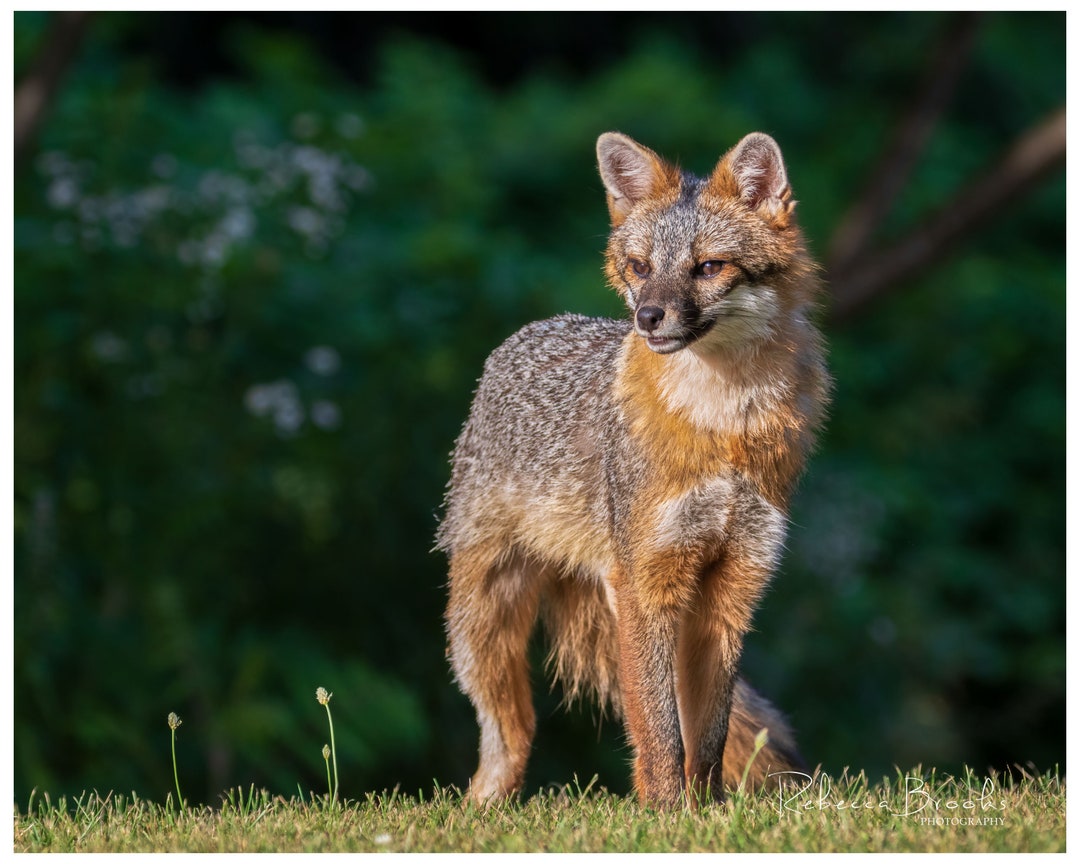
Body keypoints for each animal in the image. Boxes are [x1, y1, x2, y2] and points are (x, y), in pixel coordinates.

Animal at [437, 130, 830, 809]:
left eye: (708, 267)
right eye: (641, 267)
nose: (648, 317)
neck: (721, 423)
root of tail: (528, 331)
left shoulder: (734, 582)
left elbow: (708, 731)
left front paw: (708, 811)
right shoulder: (646, 581)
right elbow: (657, 724)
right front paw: (666, 812)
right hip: (481, 623)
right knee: (513, 729)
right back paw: (484, 807)